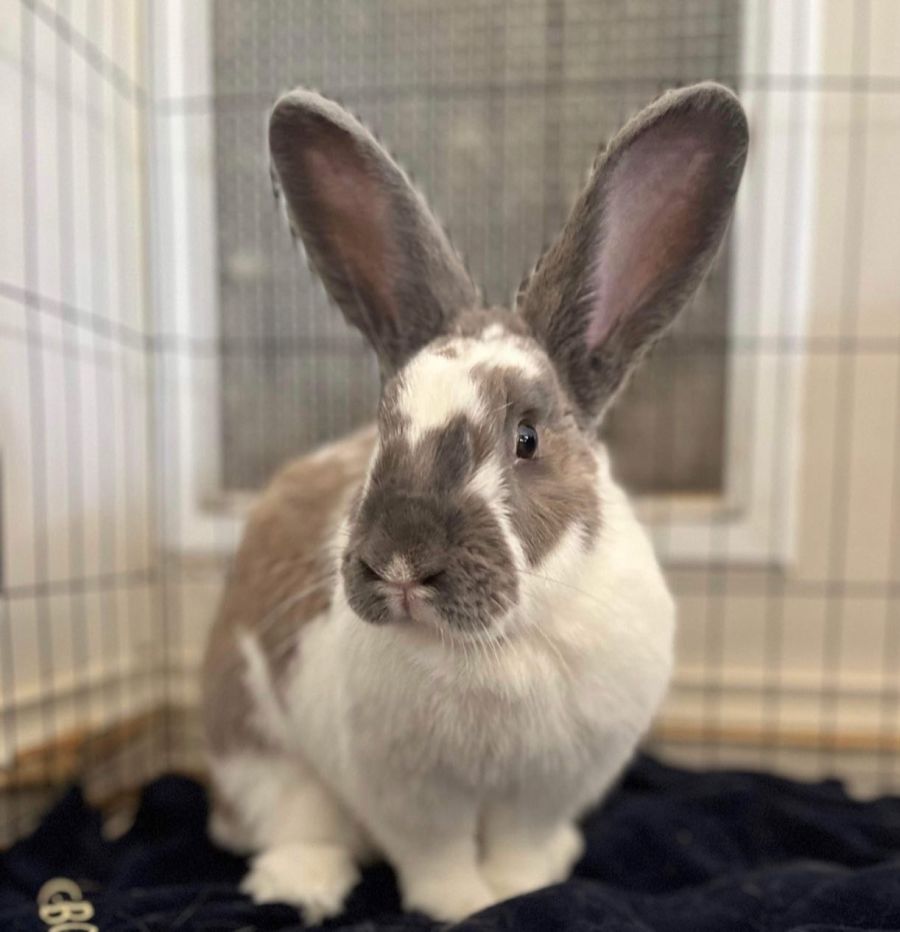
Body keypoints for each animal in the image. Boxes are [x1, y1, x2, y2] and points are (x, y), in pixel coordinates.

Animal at [201, 82, 748, 924]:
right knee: (295, 823)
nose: (400, 560)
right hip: (265, 759)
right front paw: (461, 907)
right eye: (383, 424)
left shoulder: (547, 789)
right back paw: (304, 883)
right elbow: (441, 859)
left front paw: (525, 888)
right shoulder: (413, 799)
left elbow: (520, 847)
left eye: (527, 438)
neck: (501, 643)